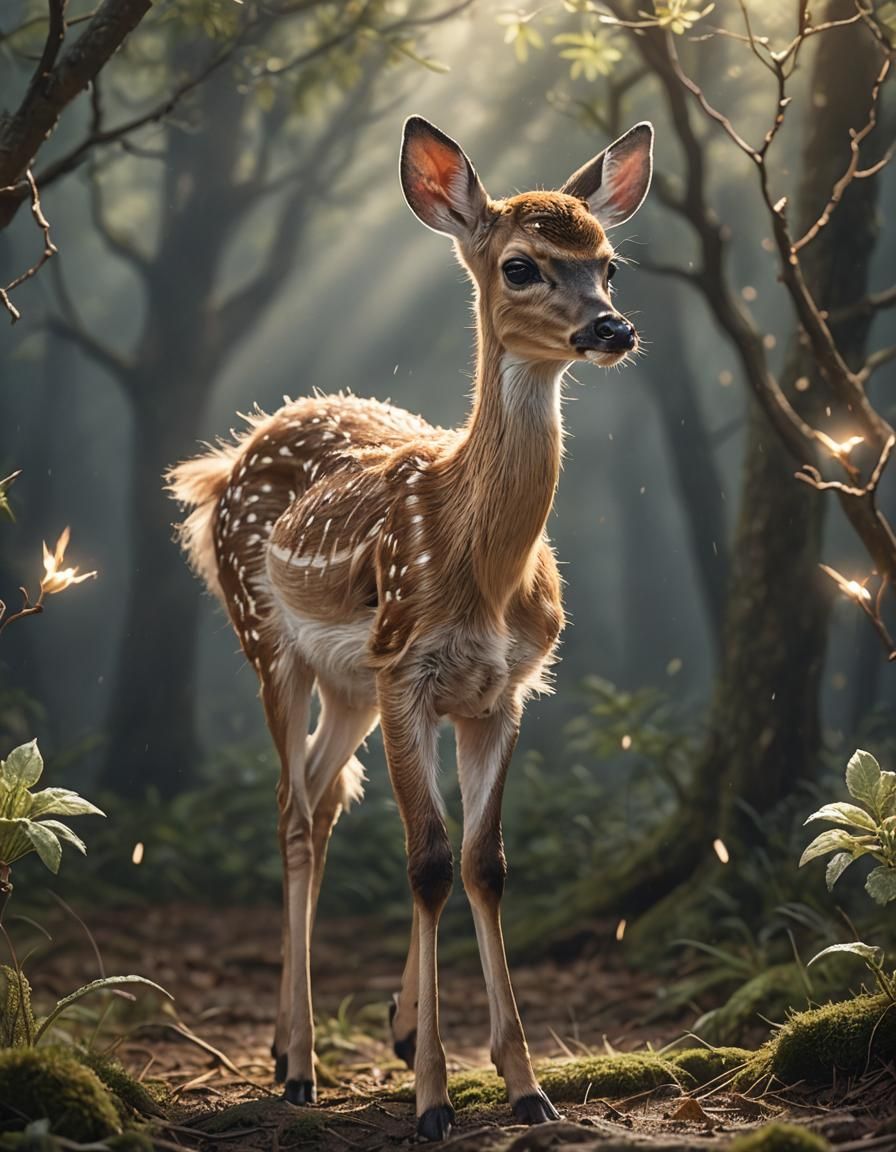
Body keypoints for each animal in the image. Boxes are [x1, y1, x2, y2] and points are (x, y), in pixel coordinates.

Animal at [167, 114, 653, 1141]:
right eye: (522, 265)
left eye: (609, 263)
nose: (612, 328)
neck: (480, 567)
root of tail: (224, 462)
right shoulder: (407, 670)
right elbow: (428, 861)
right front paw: (432, 1098)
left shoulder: (502, 691)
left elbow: (485, 862)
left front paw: (524, 1084)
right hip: (268, 641)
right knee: (292, 808)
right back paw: (301, 1066)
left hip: (350, 685)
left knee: (323, 792)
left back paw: (308, 1042)